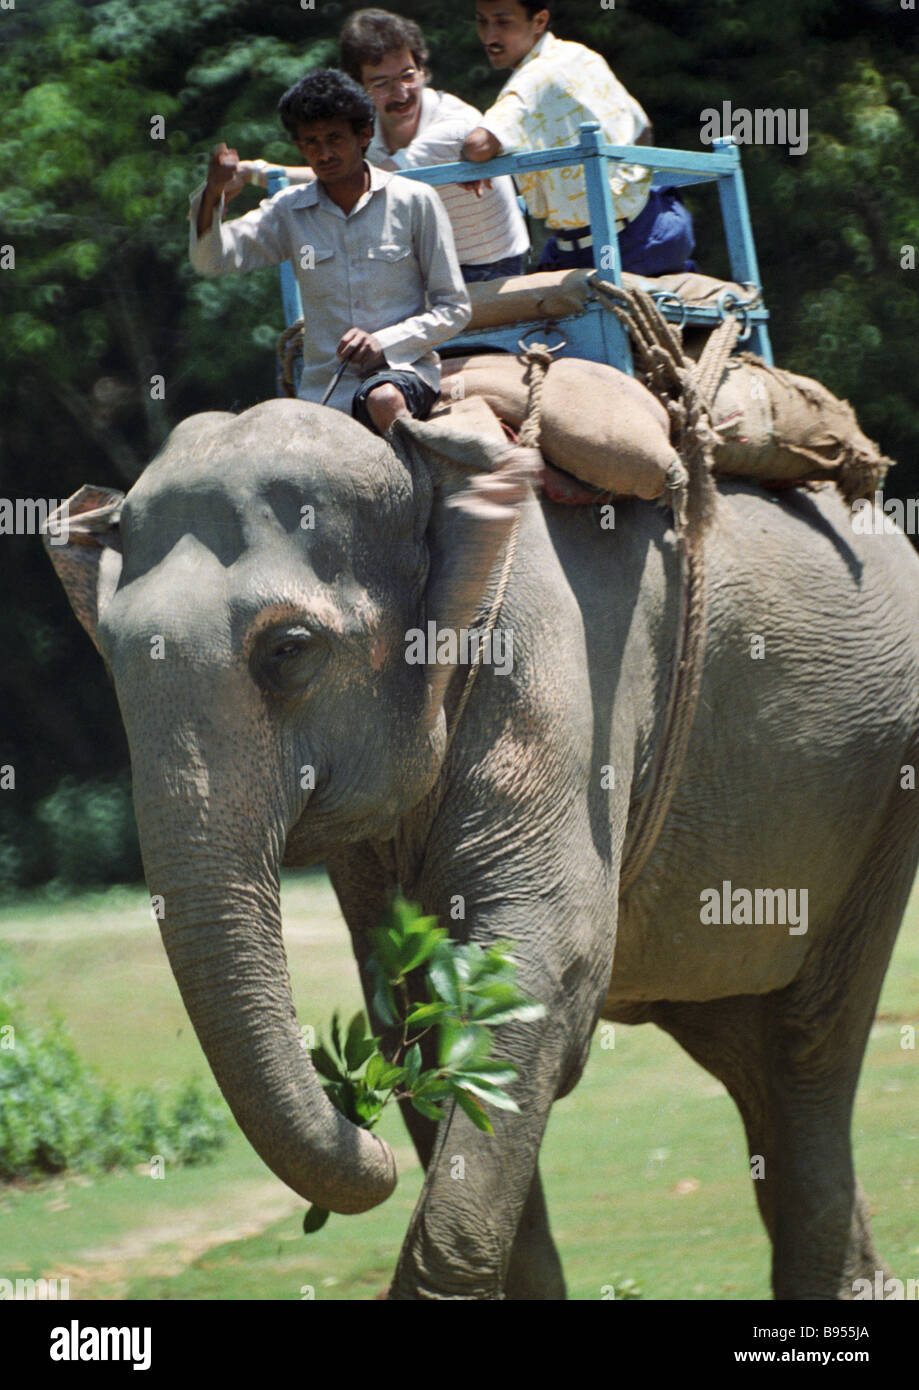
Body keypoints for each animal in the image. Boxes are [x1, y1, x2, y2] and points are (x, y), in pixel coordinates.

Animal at [45, 395, 919, 1300]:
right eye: (111, 657)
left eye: (288, 651)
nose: (368, 1135)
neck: (422, 467)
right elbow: (417, 1003)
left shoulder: (557, 674)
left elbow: (541, 975)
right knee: (749, 1054)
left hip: (885, 791)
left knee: (807, 1051)